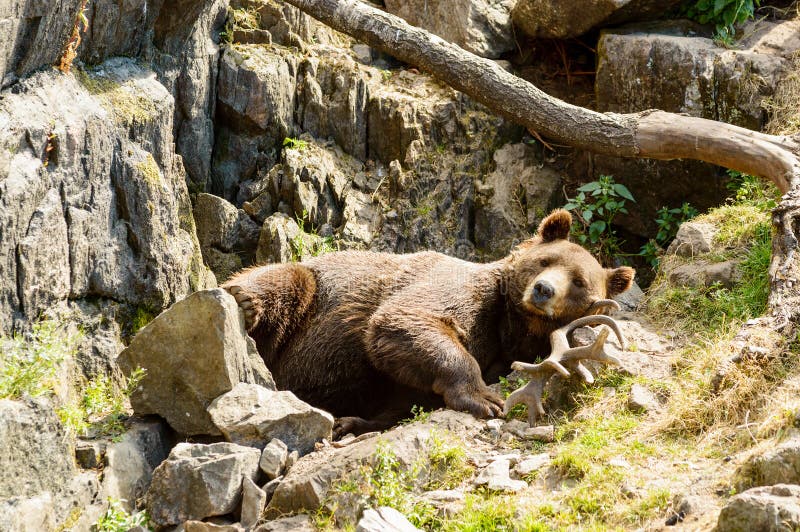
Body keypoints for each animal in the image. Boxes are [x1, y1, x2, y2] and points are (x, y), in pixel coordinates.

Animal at [222, 209, 634, 436]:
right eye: (546, 260)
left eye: (579, 282)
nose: (543, 290)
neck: (511, 325)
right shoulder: (463, 293)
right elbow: (403, 321)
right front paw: (486, 398)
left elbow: (403, 397)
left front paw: (351, 422)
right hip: (312, 292)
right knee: (284, 281)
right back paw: (246, 303)